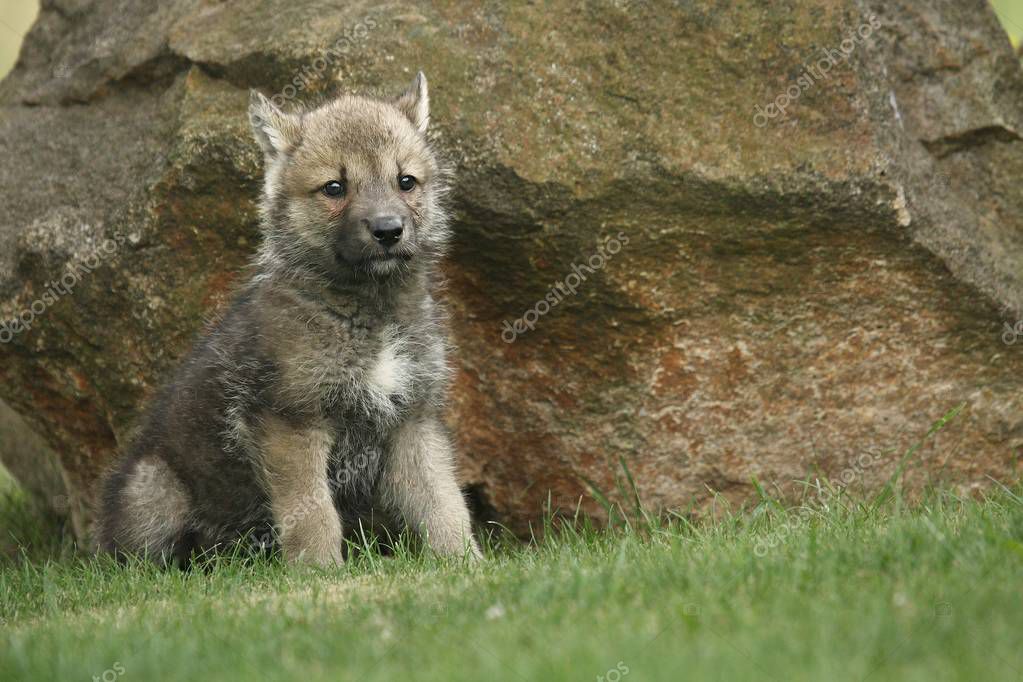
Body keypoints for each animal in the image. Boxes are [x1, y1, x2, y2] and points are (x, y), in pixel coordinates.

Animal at [98, 72, 481, 566]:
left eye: (406, 182)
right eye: (334, 188)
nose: (388, 230)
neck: (369, 311)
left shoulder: (413, 419)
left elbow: (443, 503)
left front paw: (466, 563)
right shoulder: (292, 420)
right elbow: (312, 511)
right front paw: (320, 570)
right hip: (154, 490)